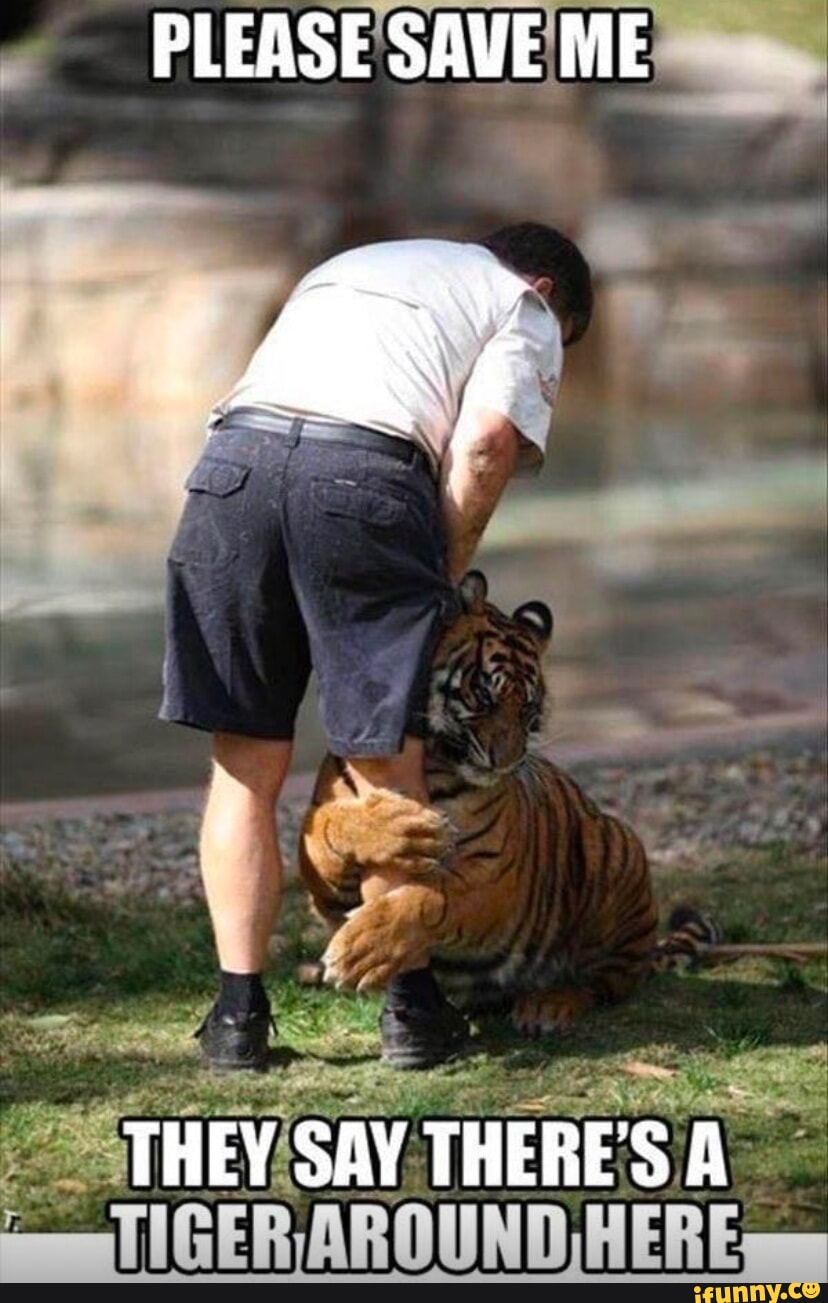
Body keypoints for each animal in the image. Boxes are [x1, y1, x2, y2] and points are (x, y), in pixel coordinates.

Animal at [297, 570, 720, 1035]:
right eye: (484, 696)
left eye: (528, 708)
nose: (509, 761)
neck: (432, 765)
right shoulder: (330, 892)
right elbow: (320, 832)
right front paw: (401, 828)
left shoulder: (494, 877)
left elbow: (430, 900)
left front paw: (360, 949)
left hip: (618, 846)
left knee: (605, 982)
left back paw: (549, 1005)